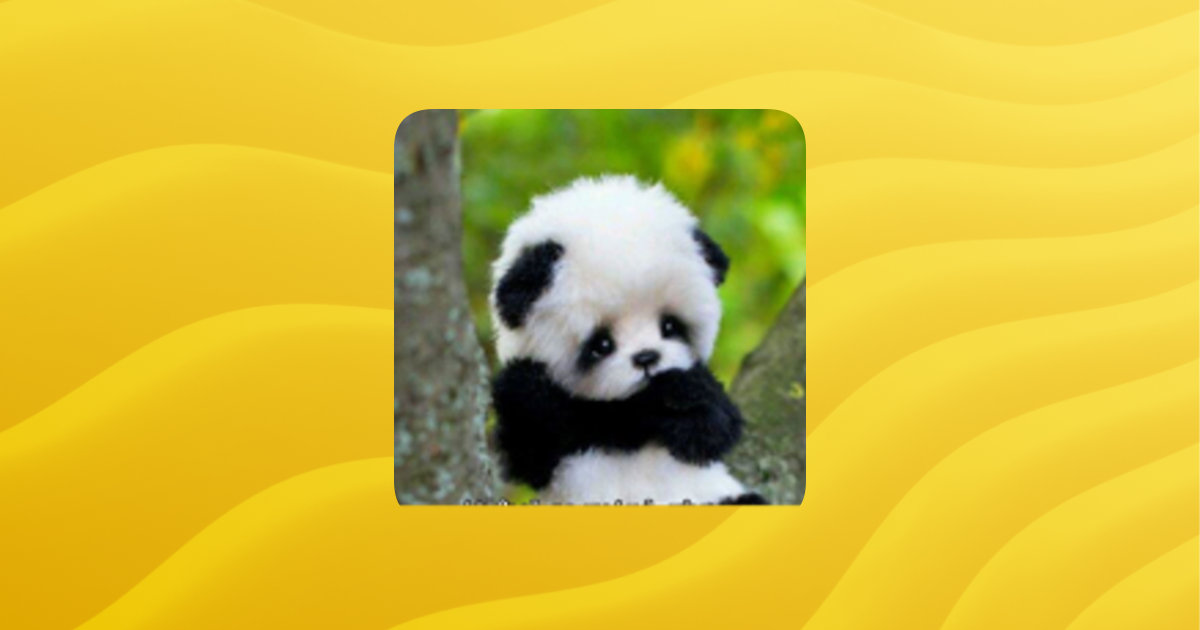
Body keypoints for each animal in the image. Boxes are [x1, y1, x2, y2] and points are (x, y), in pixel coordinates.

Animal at [488, 175, 767, 505]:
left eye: (669, 326)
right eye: (602, 344)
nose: (647, 358)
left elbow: (713, 427)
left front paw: (678, 395)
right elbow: (532, 445)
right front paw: (528, 387)